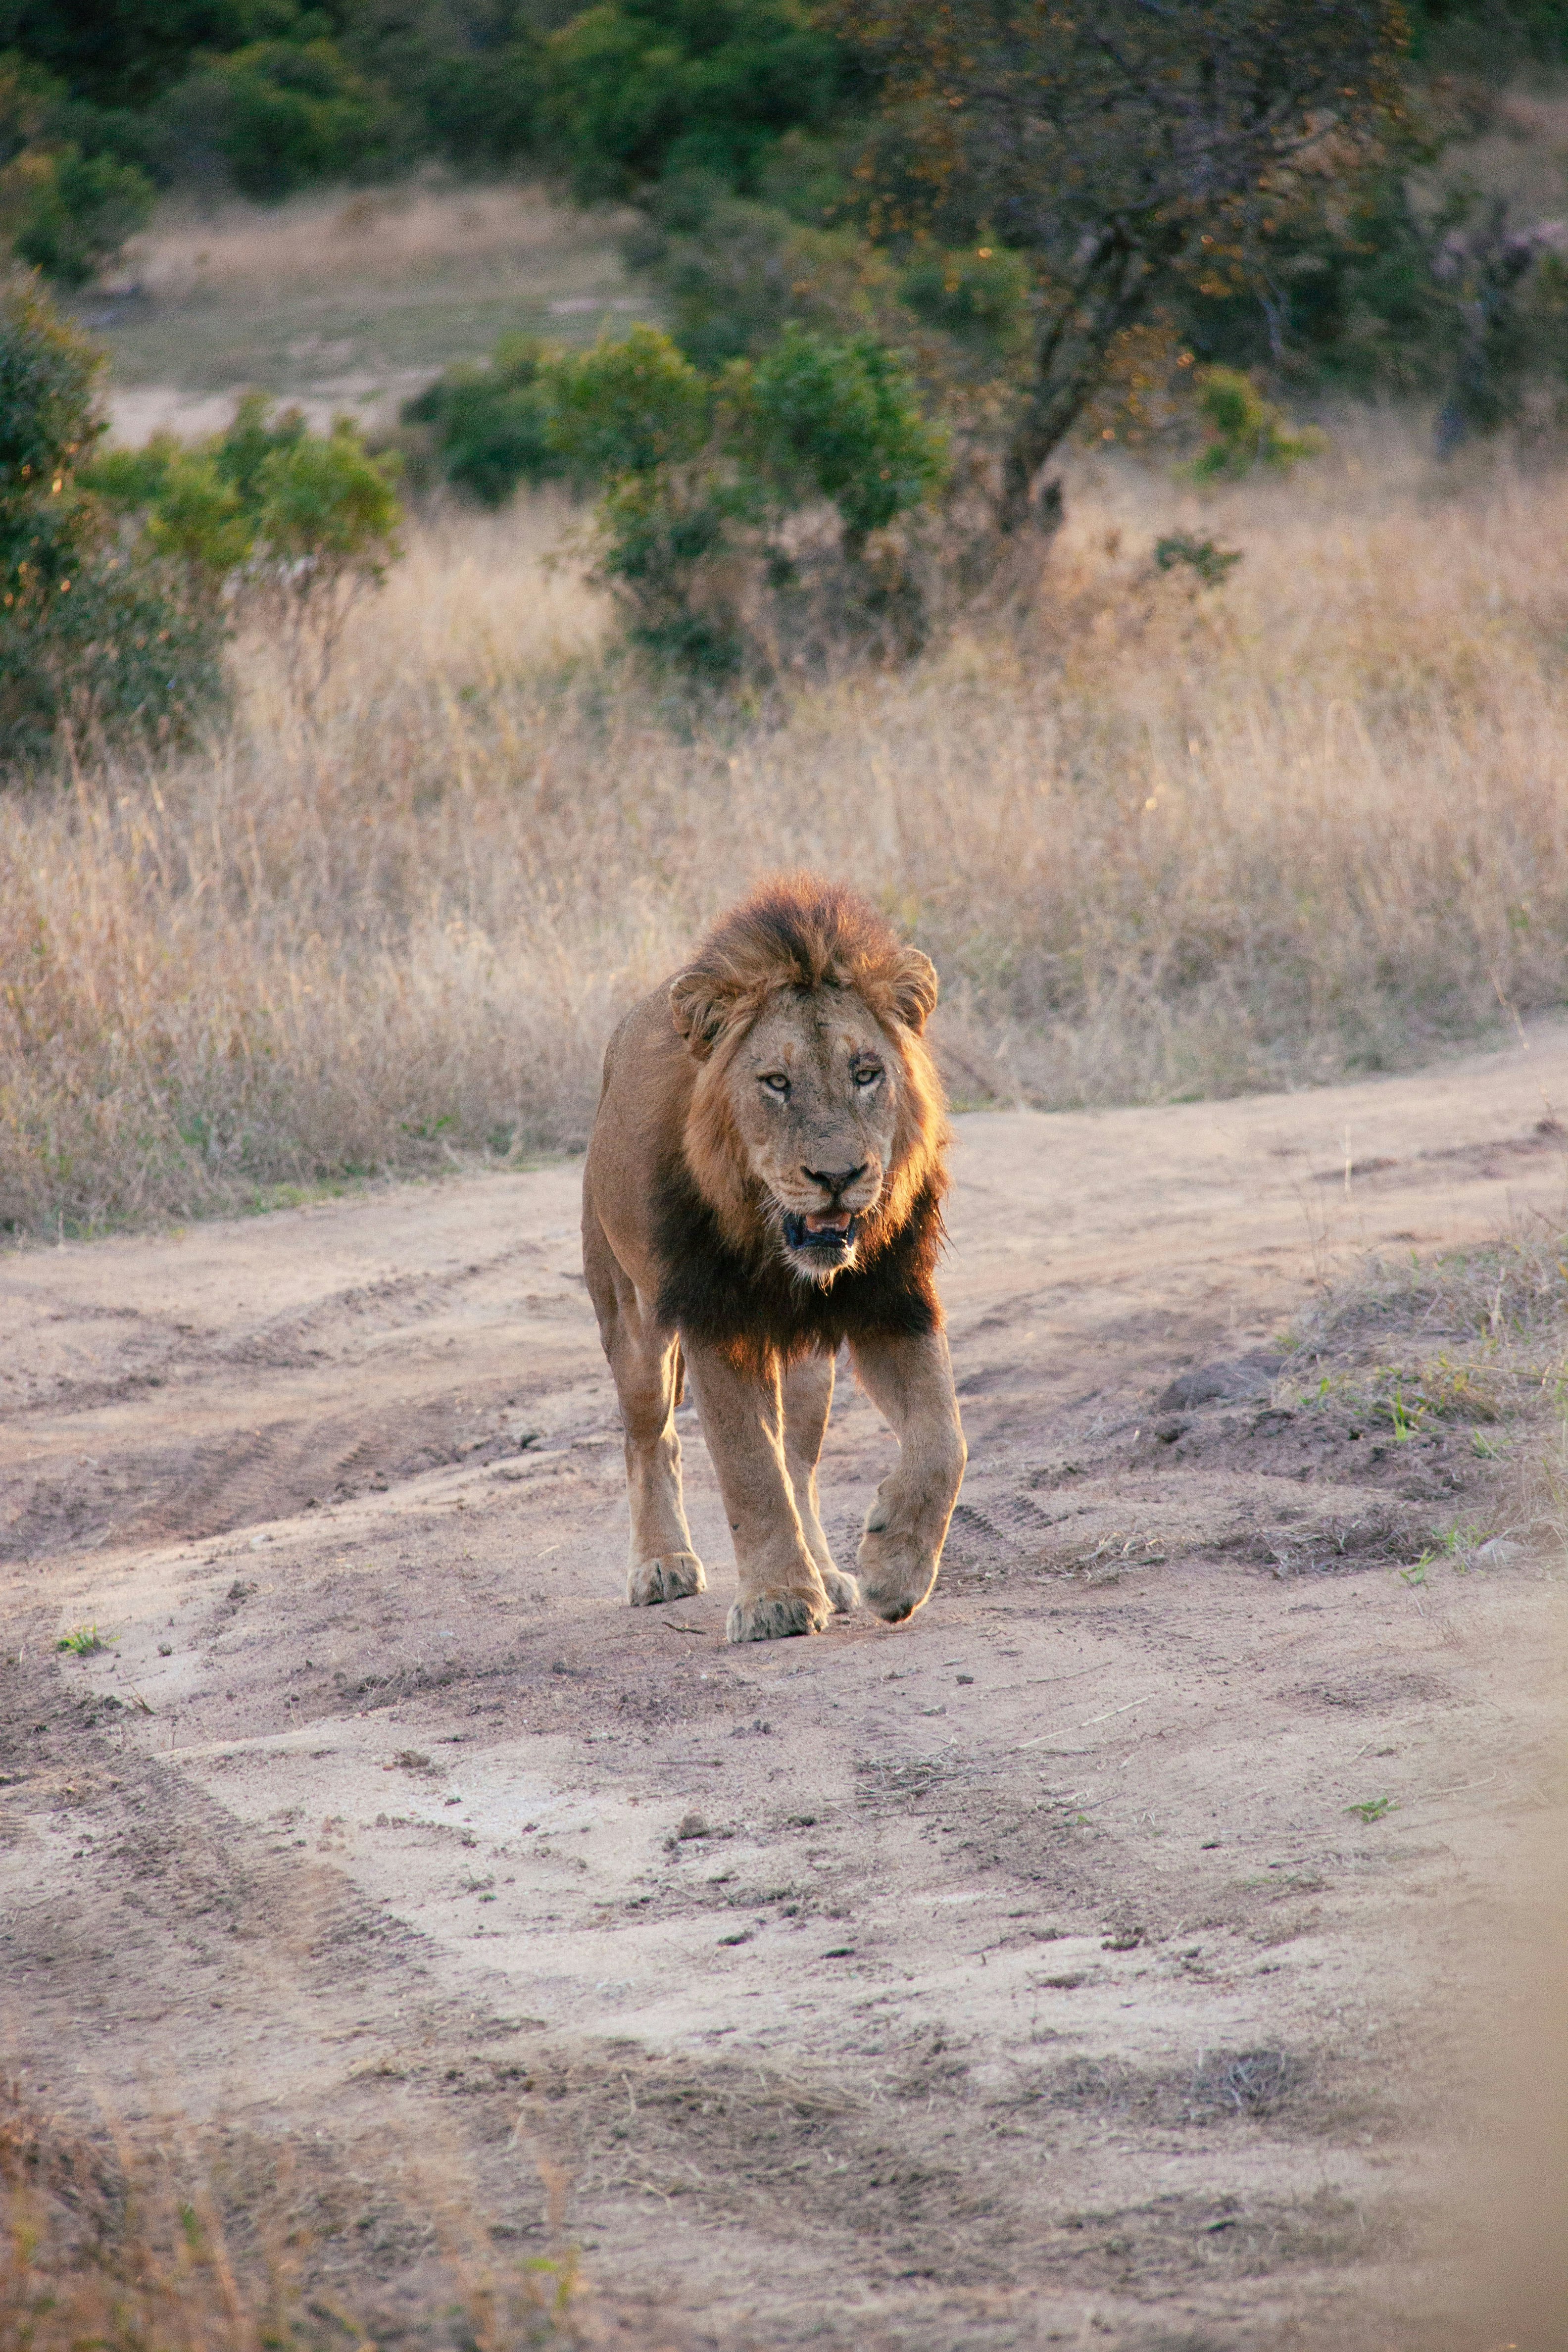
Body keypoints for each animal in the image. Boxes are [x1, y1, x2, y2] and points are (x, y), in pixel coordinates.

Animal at [581, 873, 967, 1644]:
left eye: (866, 1073)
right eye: (776, 1083)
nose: (837, 1176)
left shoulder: (894, 1302)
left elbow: (943, 1443)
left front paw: (894, 1571)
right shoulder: (716, 1320)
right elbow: (748, 1470)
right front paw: (777, 1604)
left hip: (812, 1369)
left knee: (801, 1464)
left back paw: (829, 1574)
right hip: (631, 1322)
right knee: (651, 1438)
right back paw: (662, 1565)